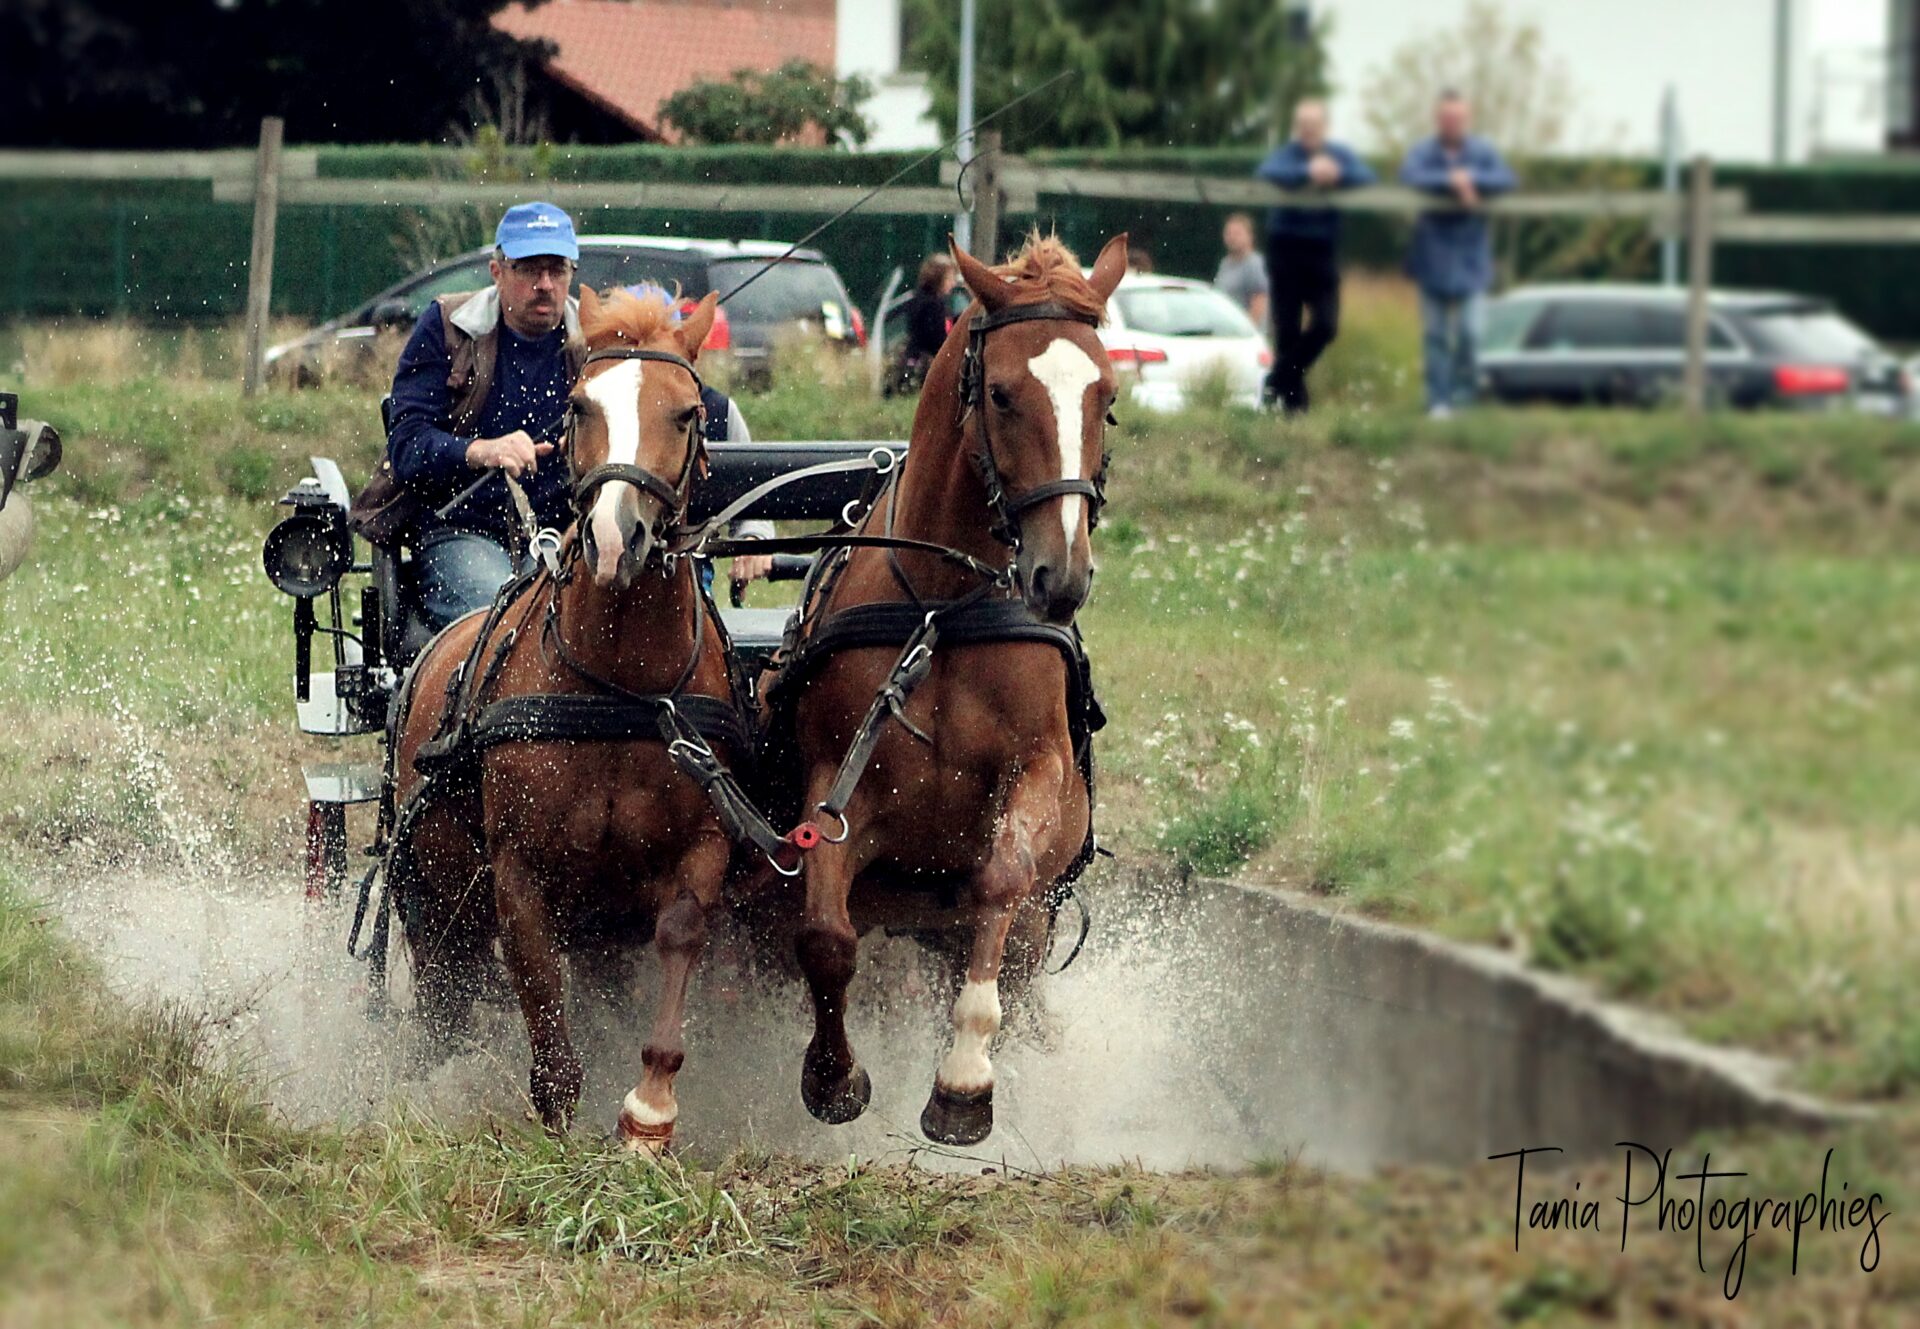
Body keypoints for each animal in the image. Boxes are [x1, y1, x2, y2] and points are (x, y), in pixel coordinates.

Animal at [386, 285, 744, 1153]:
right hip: (435, 893)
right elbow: (542, 996)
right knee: (445, 995)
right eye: (579, 405)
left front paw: (649, 1115)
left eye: (688, 411)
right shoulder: (520, 871)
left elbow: (680, 938)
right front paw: (554, 1122)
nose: (617, 538)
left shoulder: (701, 846)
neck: (619, 688)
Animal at [759, 231, 1128, 1146]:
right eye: (1001, 392)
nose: (1061, 576)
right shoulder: (838, 787)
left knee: (1012, 971)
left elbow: (996, 882)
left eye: (1106, 399)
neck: (942, 612)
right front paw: (833, 1075)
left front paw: (963, 1080)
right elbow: (825, 934)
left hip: (1033, 924)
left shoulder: (1038, 772)